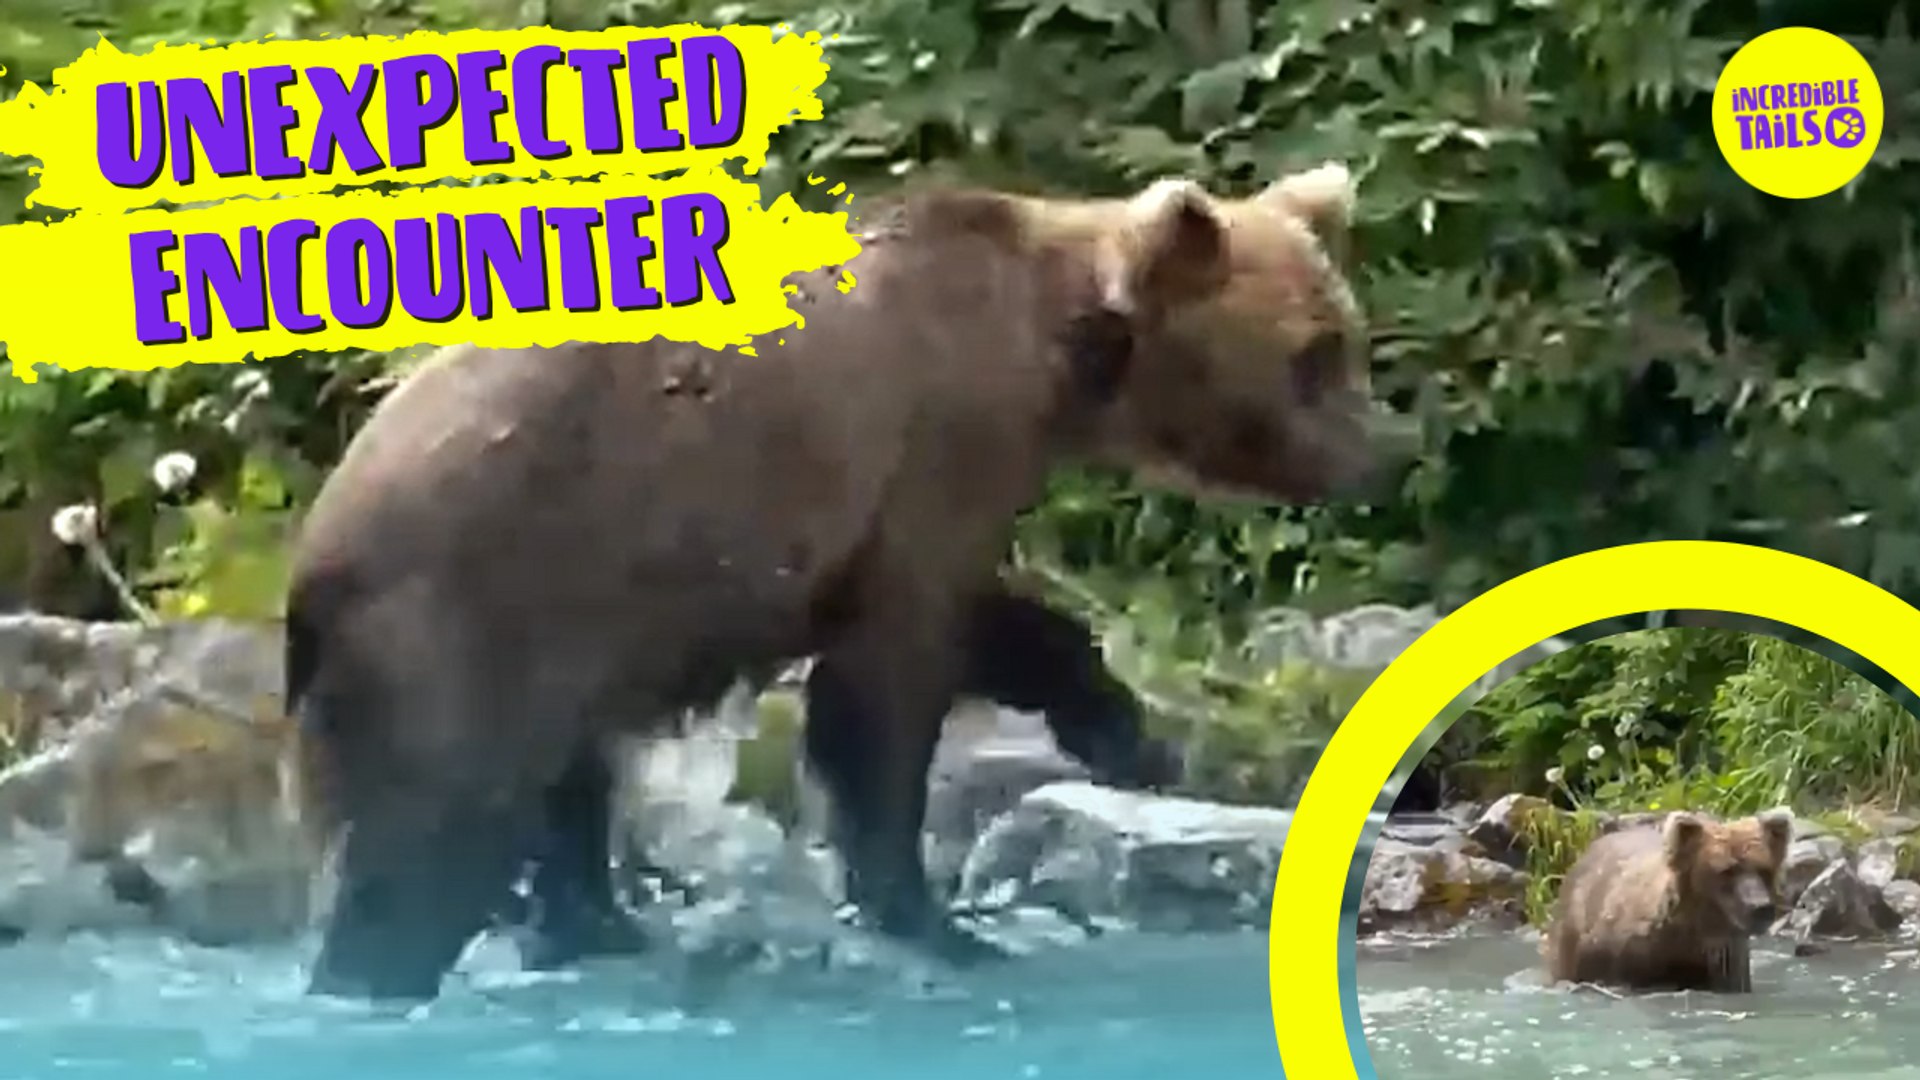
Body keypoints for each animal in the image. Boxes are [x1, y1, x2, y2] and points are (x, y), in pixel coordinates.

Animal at [286, 161, 1393, 1002]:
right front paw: (932, 918)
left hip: (573, 616)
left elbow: (985, 619)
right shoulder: (937, 439)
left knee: (566, 793)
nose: (1384, 451)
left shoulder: (882, 517)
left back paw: (597, 929)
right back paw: (378, 972)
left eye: (1348, 337)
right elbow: (888, 686)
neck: (1057, 345)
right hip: (469, 613)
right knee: (432, 836)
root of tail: (313, 559)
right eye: (1314, 354)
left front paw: (1126, 735)